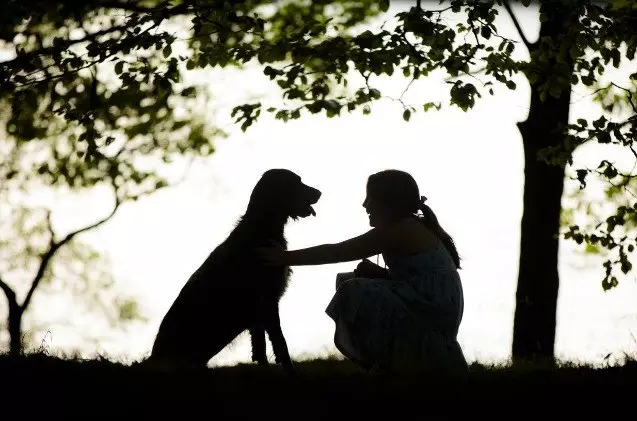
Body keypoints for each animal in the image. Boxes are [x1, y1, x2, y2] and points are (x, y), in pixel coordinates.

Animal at [147, 169, 320, 370]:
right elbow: (279, 340)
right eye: (297, 182)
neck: (261, 227)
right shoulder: (267, 299)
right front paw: (288, 368)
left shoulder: (259, 310)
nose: (319, 193)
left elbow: (260, 343)